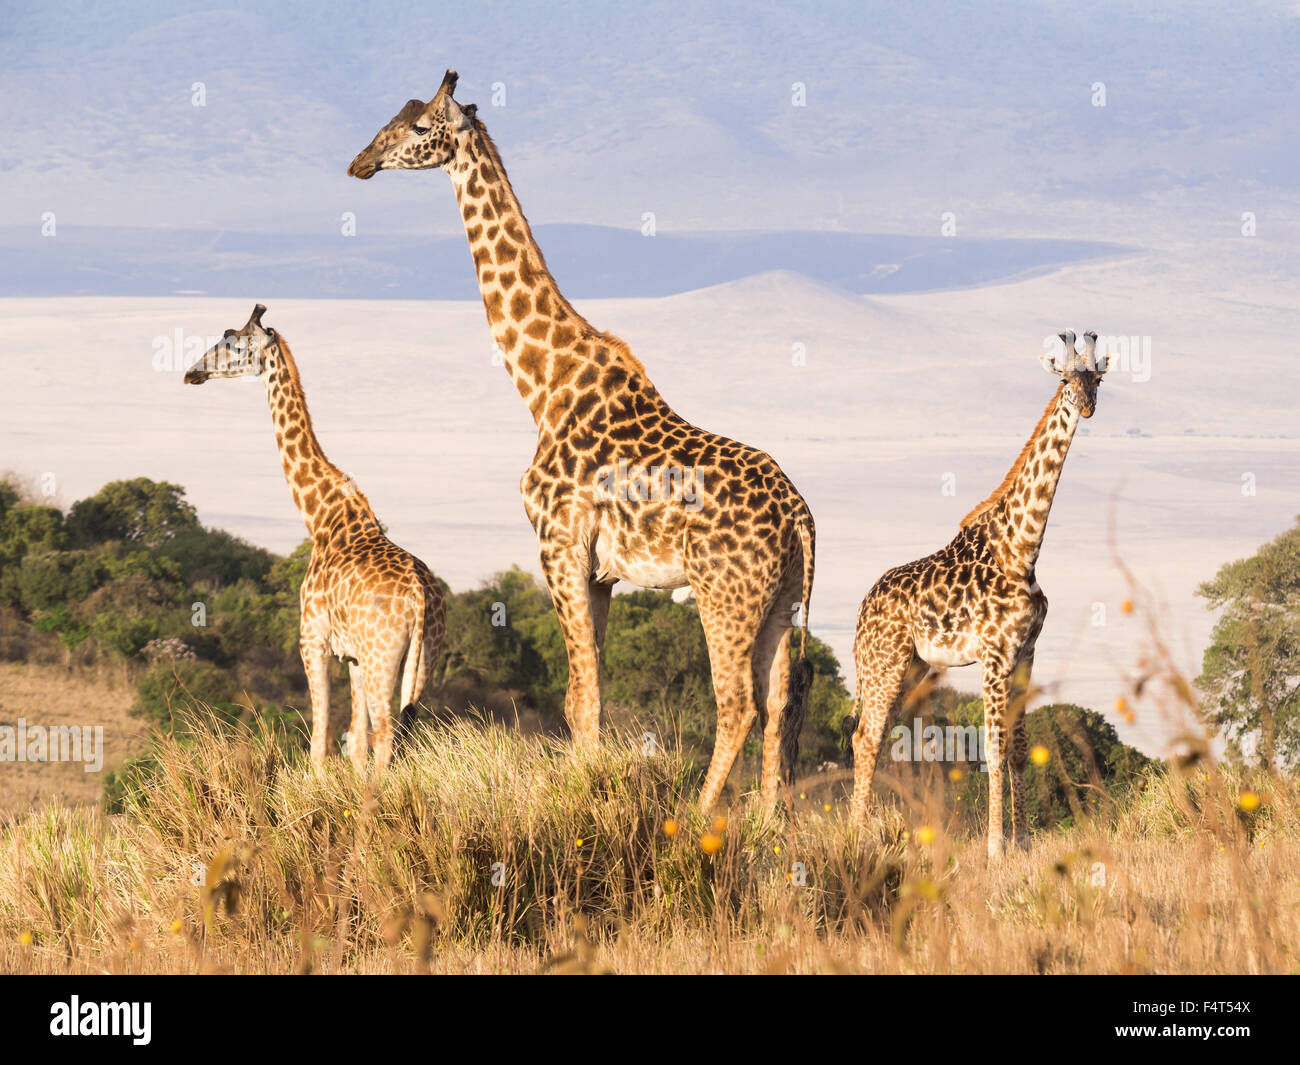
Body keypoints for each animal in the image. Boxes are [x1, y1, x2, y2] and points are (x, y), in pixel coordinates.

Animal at [184, 304, 446, 770]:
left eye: (234, 342)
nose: (192, 372)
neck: (321, 516)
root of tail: (420, 600)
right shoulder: (352, 655)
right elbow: (353, 740)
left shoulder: (312, 639)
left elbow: (320, 741)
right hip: (422, 660)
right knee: (398, 731)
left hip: (383, 658)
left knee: (386, 732)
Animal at [347, 71, 815, 811]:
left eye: (420, 127)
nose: (360, 161)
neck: (543, 384)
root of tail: (801, 514)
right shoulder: (601, 571)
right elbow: (585, 696)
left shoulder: (557, 544)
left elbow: (580, 697)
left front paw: (585, 795)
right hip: (779, 598)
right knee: (778, 702)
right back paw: (767, 822)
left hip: (724, 593)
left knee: (738, 702)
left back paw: (701, 814)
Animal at [848, 331, 1110, 857]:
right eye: (1065, 380)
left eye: (1097, 379)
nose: (1087, 406)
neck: (1022, 549)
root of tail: (861, 614)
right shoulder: (993, 655)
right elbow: (992, 747)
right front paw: (994, 848)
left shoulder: (1026, 653)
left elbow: (1019, 748)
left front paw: (1023, 842)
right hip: (884, 664)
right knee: (865, 738)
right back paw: (858, 837)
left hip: (912, 667)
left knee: (882, 738)